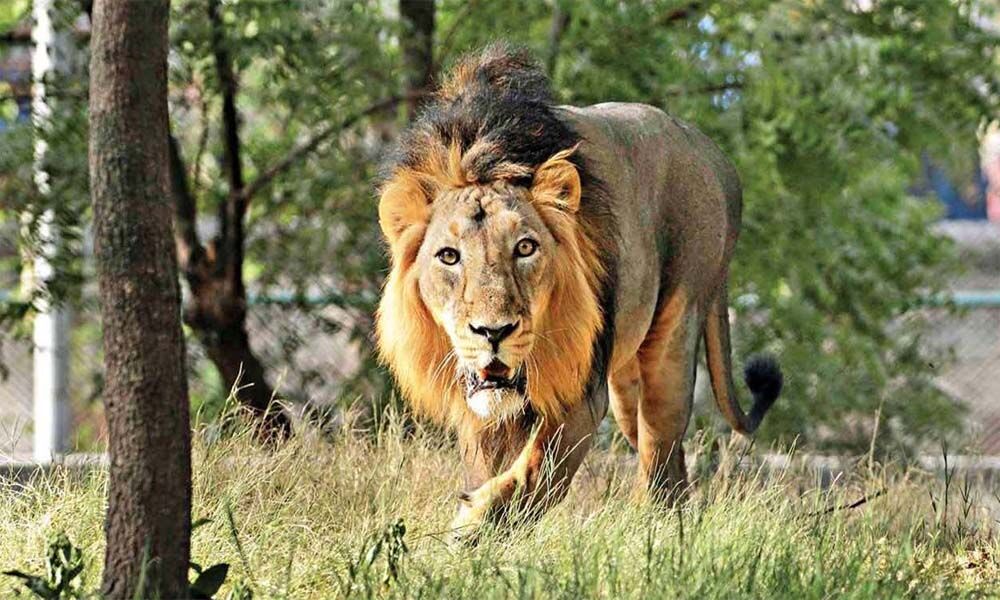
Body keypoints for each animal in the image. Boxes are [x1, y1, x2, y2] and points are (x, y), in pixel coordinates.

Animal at [375, 44, 783, 540]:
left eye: (525, 247)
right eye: (449, 257)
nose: (493, 332)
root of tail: (716, 157)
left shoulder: (581, 393)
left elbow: (536, 471)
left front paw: (472, 525)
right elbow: (491, 467)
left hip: (674, 332)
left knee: (660, 449)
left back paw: (654, 532)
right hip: (625, 380)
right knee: (667, 461)